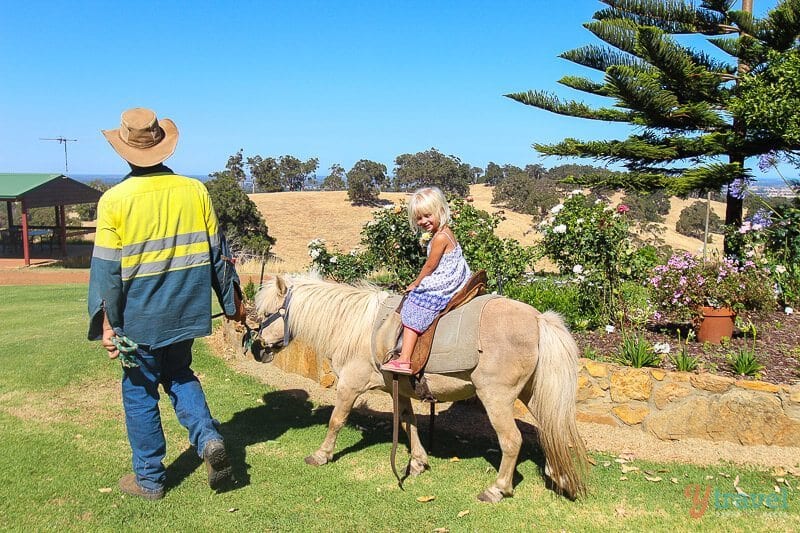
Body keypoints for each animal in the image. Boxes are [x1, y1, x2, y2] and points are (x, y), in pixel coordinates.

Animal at [256, 272, 588, 500]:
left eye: (264, 315)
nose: (257, 348)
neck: (354, 326)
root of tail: (539, 319)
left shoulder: (350, 385)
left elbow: (336, 420)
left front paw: (321, 455)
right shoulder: (400, 390)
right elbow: (408, 422)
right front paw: (417, 462)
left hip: (497, 397)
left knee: (512, 441)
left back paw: (498, 489)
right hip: (532, 394)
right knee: (552, 431)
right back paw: (560, 477)